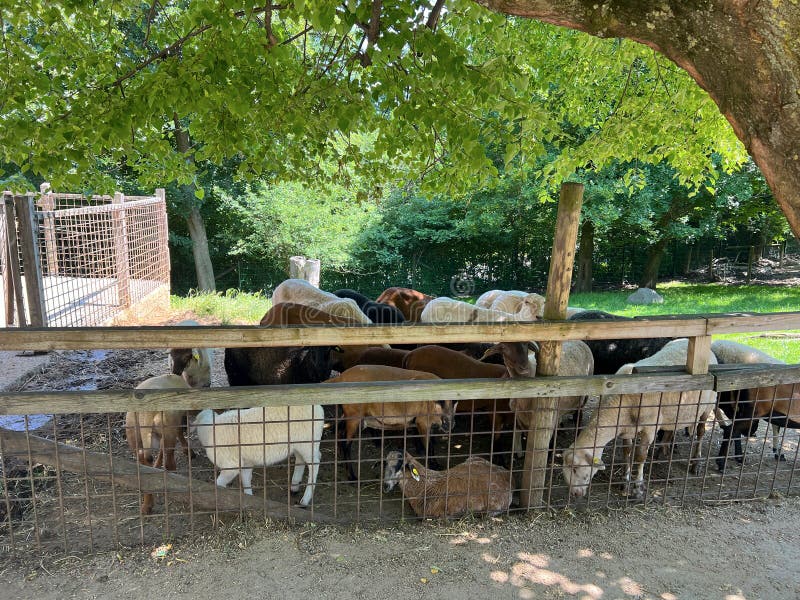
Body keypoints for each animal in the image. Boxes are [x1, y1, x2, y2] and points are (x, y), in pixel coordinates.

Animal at [191, 404, 324, 506]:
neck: (209, 431)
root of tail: (319, 408)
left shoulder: (231, 465)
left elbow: (219, 484)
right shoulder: (246, 462)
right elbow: (245, 479)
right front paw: (249, 497)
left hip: (308, 442)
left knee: (315, 463)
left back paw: (305, 499)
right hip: (299, 445)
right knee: (300, 459)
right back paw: (294, 487)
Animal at [325, 365, 457, 480]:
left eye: (455, 402)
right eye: (440, 401)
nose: (449, 424)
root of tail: (341, 377)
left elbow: (431, 445)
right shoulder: (422, 422)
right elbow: (429, 446)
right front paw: (435, 466)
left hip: (350, 415)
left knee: (339, 432)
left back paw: (339, 460)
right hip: (354, 416)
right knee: (346, 444)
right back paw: (351, 476)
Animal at [383, 450, 513, 518]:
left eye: (400, 466)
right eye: (385, 464)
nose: (385, 486)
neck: (424, 486)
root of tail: (506, 474)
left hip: (493, 508)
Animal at [562, 339, 718, 499]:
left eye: (576, 467)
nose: (575, 493)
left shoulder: (650, 428)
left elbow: (640, 456)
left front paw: (638, 487)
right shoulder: (626, 430)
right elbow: (627, 453)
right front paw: (625, 481)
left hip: (708, 405)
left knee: (700, 431)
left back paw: (696, 462)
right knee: (672, 429)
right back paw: (662, 450)